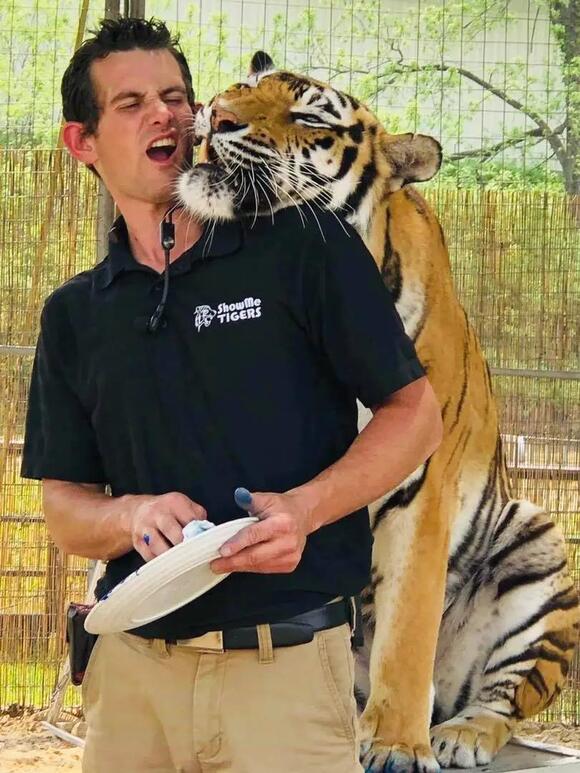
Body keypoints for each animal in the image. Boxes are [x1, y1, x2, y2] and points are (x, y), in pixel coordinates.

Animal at [176, 51, 579, 772]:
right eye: (245, 87)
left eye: (309, 118)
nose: (216, 115)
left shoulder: (421, 490)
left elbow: (405, 631)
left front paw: (394, 743)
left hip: (538, 541)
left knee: (503, 698)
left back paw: (456, 733)